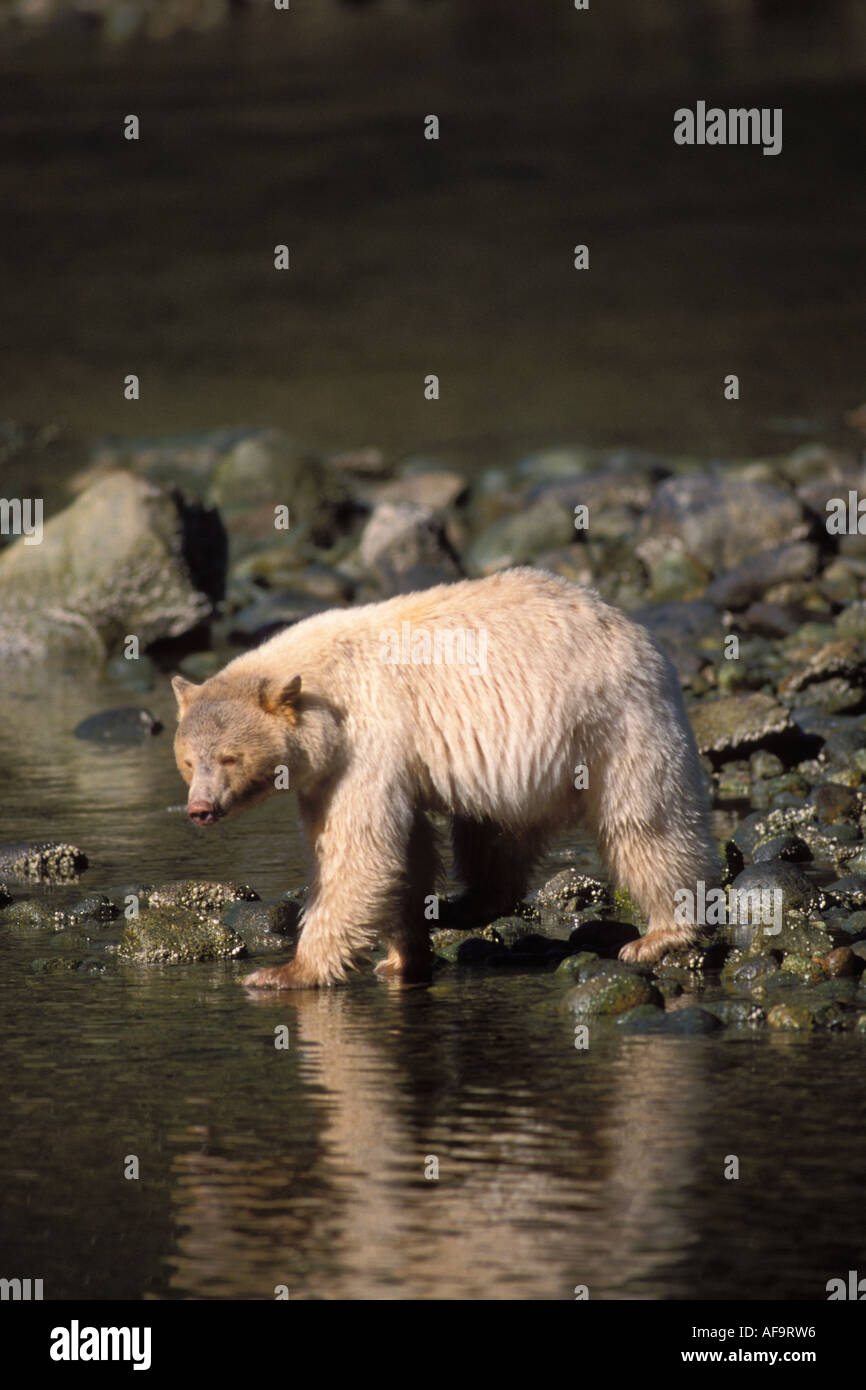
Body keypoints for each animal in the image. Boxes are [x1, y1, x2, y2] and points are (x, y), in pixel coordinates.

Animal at [171, 568, 719, 988]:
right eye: (189, 759)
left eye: (229, 757)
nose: (199, 808)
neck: (326, 684)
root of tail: (629, 627)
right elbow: (403, 854)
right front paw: (401, 957)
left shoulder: (364, 747)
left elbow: (358, 854)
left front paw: (285, 973)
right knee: (493, 834)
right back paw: (464, 905)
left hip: (612, 725)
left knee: (647, 825)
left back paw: (660, 934)